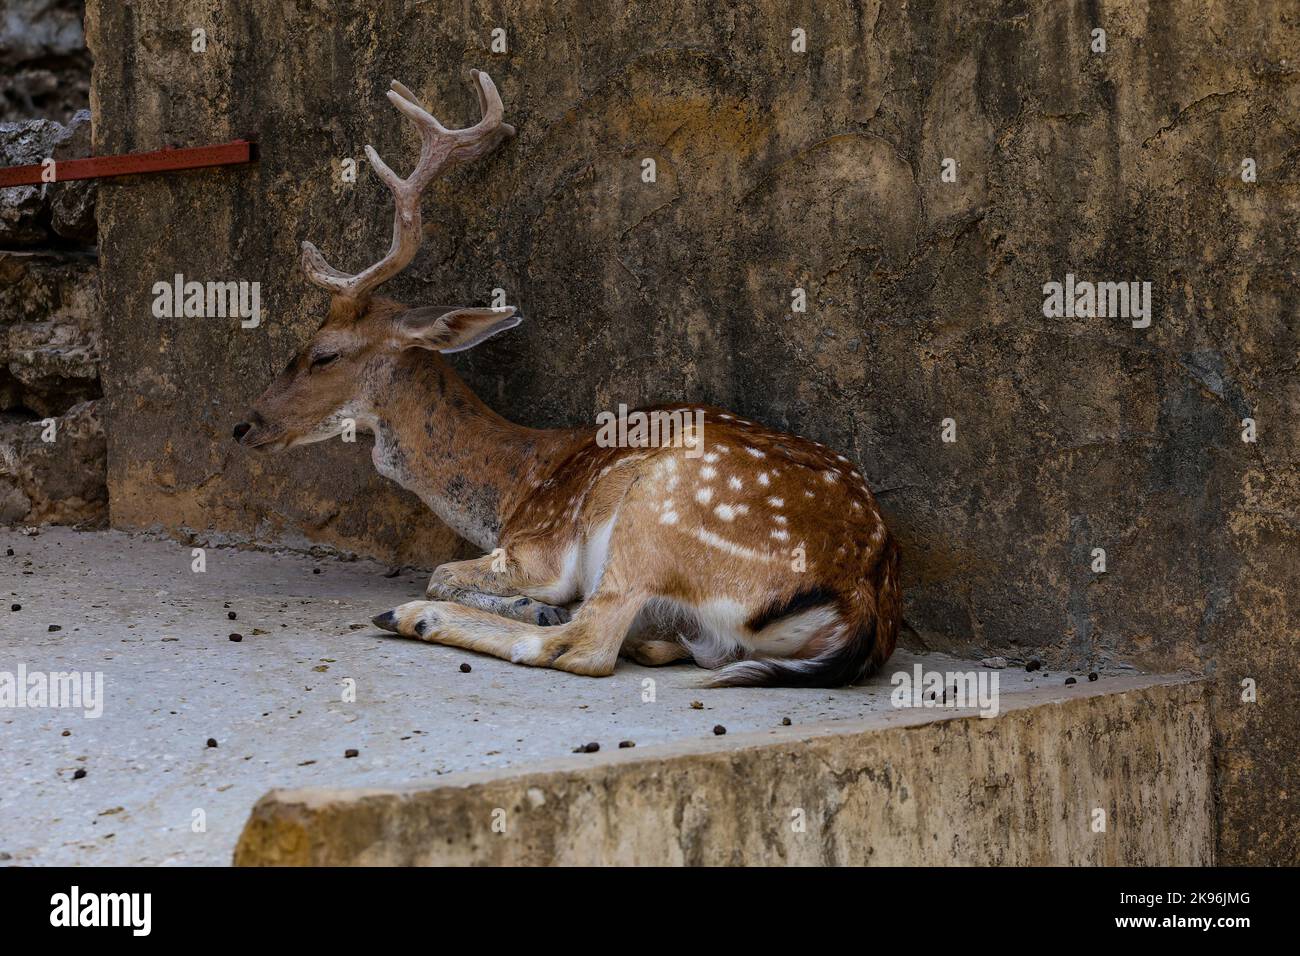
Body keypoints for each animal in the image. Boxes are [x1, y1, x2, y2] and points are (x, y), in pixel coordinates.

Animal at [233, 69, 902, 687]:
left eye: (323, 353)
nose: (245, 424)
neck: (512, 487)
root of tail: (861, 603)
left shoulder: (540, 548)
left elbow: (448, 571)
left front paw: (530, 606)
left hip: (658, 511)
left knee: (587, 643)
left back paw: (419, 615)